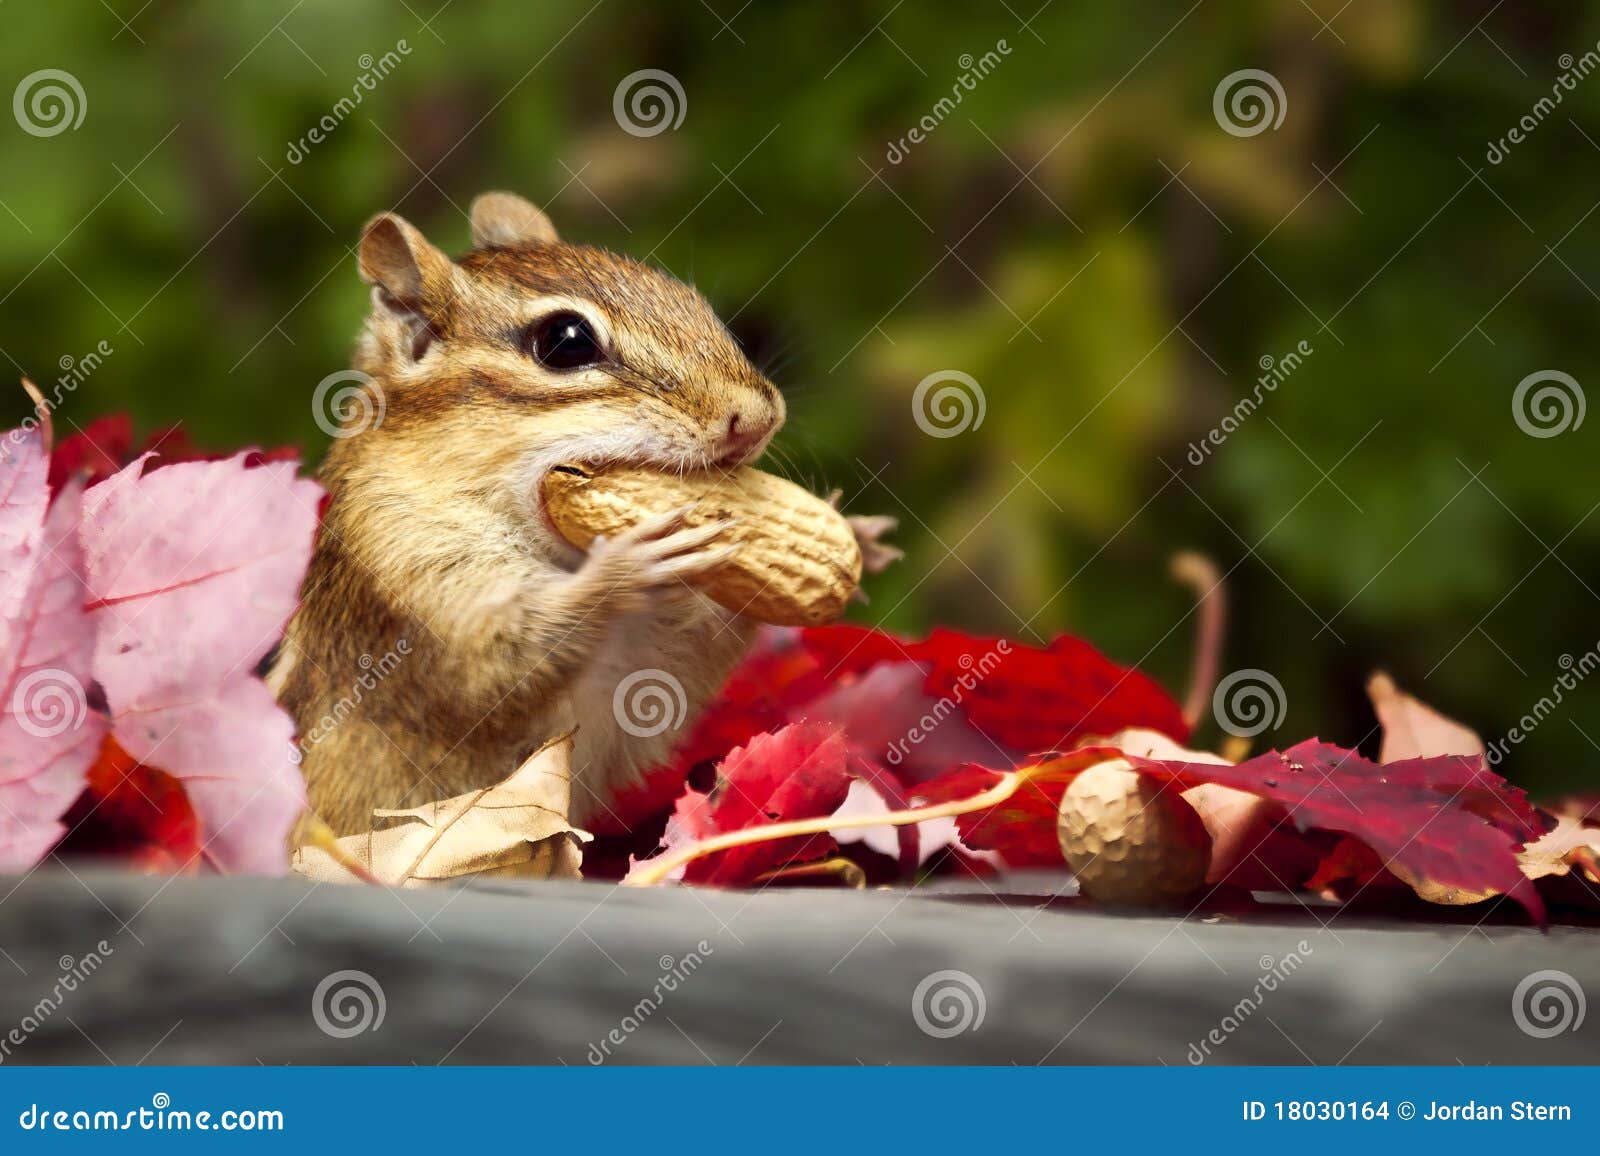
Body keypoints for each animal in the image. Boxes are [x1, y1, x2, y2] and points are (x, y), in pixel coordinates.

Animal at [272, 191, 895, 843]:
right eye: (565, 341)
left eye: (693, 301)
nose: (758, 418)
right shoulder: (411, 584)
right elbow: (500, 663)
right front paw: (625, 566)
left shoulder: (647, 674)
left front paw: (853, 531)